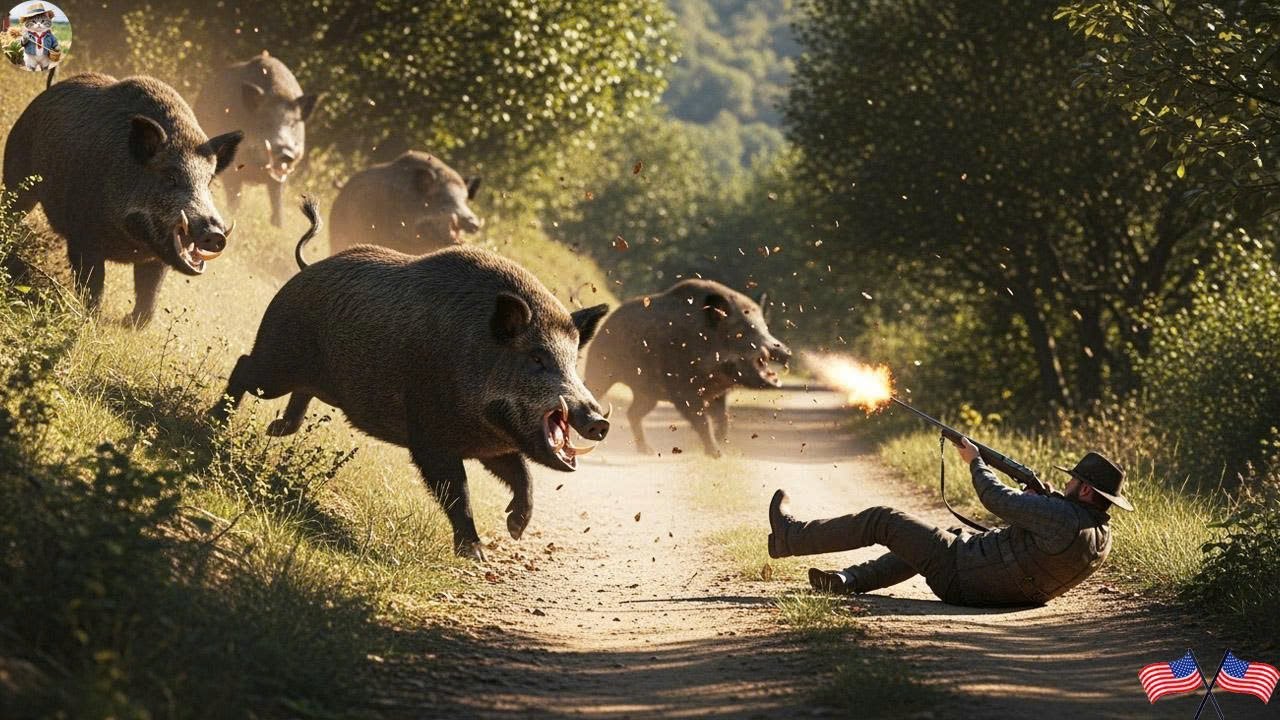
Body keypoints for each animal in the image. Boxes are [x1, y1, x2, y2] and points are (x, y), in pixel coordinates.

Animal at [3, 73, 243, 326]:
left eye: (208, 182)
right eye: (170, 177)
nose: (214, 233)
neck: (131, 242)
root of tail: (47, 91)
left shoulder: (156, 258)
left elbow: (150, 292)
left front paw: (130, 323)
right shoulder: (82, 236)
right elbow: (93, 284)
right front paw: (93, 320)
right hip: (17, 170)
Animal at [194, 53, 320, 227]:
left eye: (293, 123)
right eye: (266, 121)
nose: (286, 153)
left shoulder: (282, 176)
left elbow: (277, 202)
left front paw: (278, 226)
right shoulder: (233, 171)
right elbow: (234, 200)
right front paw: (234, 216)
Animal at [213, 199, 610, 560]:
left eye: (573, 362)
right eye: (537, 358)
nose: (599, 421)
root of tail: (303, 271)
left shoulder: (491, 444)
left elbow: (522, 474)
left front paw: (515, 529)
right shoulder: (429, 435)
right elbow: (457, 491)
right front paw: (475, 554)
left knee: (295, 394)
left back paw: (274, 429)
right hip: (276, 362)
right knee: (244, 366)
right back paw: (217, 421)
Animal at [584, 279, 791, 458]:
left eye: (765, 327)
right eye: (741, 330)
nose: (786, 351)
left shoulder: (717, 394)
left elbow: (723, 418)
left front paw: (722, 445)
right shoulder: (683, 390)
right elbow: (702, 421)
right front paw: (718, 454)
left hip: (647, 393)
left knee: (632, 412)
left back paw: (648, 451)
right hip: (600, 368)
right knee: (594, 391)